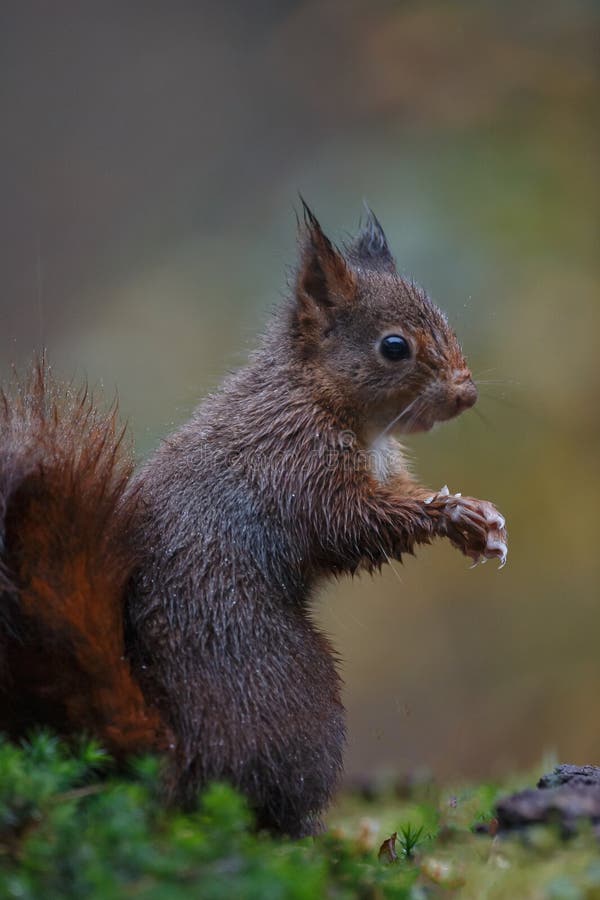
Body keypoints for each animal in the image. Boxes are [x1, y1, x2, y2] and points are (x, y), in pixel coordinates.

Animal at [0, 202, 507, 836]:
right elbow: (348, 524)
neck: (314, 393)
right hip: (301, 698)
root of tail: (182, 753)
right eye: (394, 347)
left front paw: (473, 514)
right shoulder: (293, 463)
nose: (467, 396)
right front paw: (449, 513)